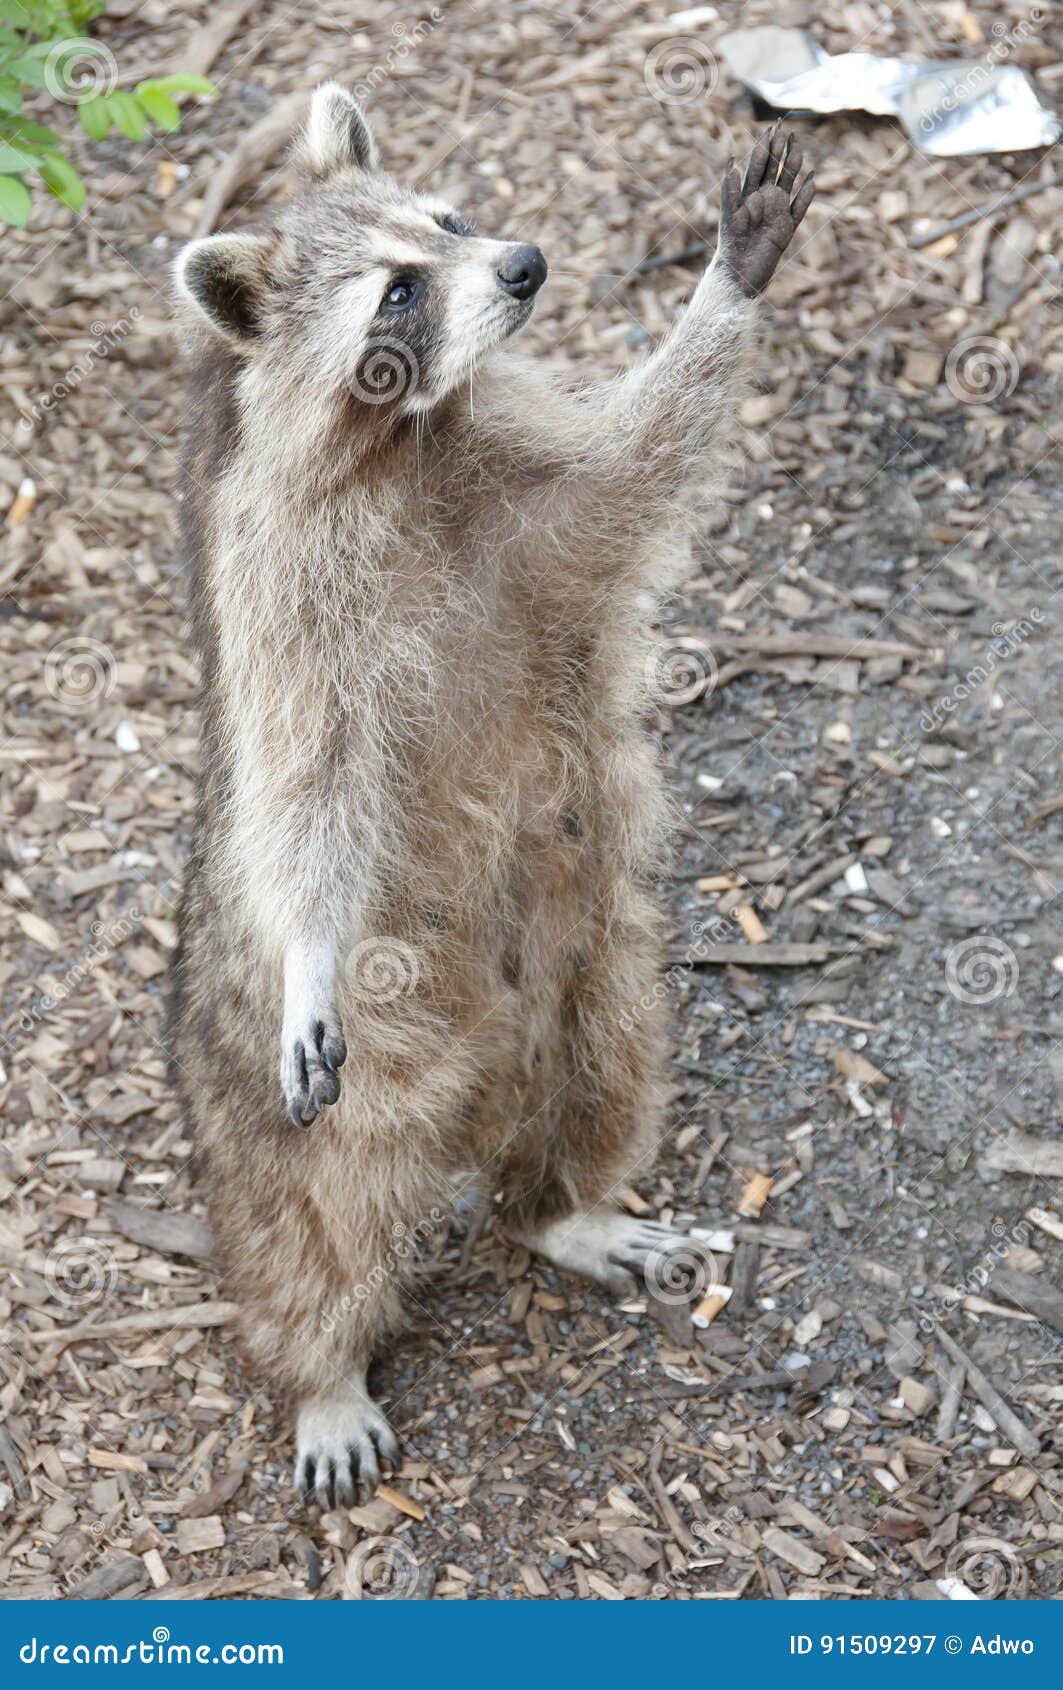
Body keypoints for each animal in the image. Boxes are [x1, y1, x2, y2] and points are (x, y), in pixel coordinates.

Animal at [169, 85, 813, 1507]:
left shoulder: (533, 496)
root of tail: (470, 1108)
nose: (522, 264)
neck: (407, 436)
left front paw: (727, 280)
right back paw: (321, 1369)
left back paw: (561, 1207)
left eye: (451, 217)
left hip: (594, 971)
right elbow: (303, 791)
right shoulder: (283, 597)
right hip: (281, 1094)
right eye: (398, 291)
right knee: (313, 1226)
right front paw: (309, 945)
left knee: (604, 1072)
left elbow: (643, 455)